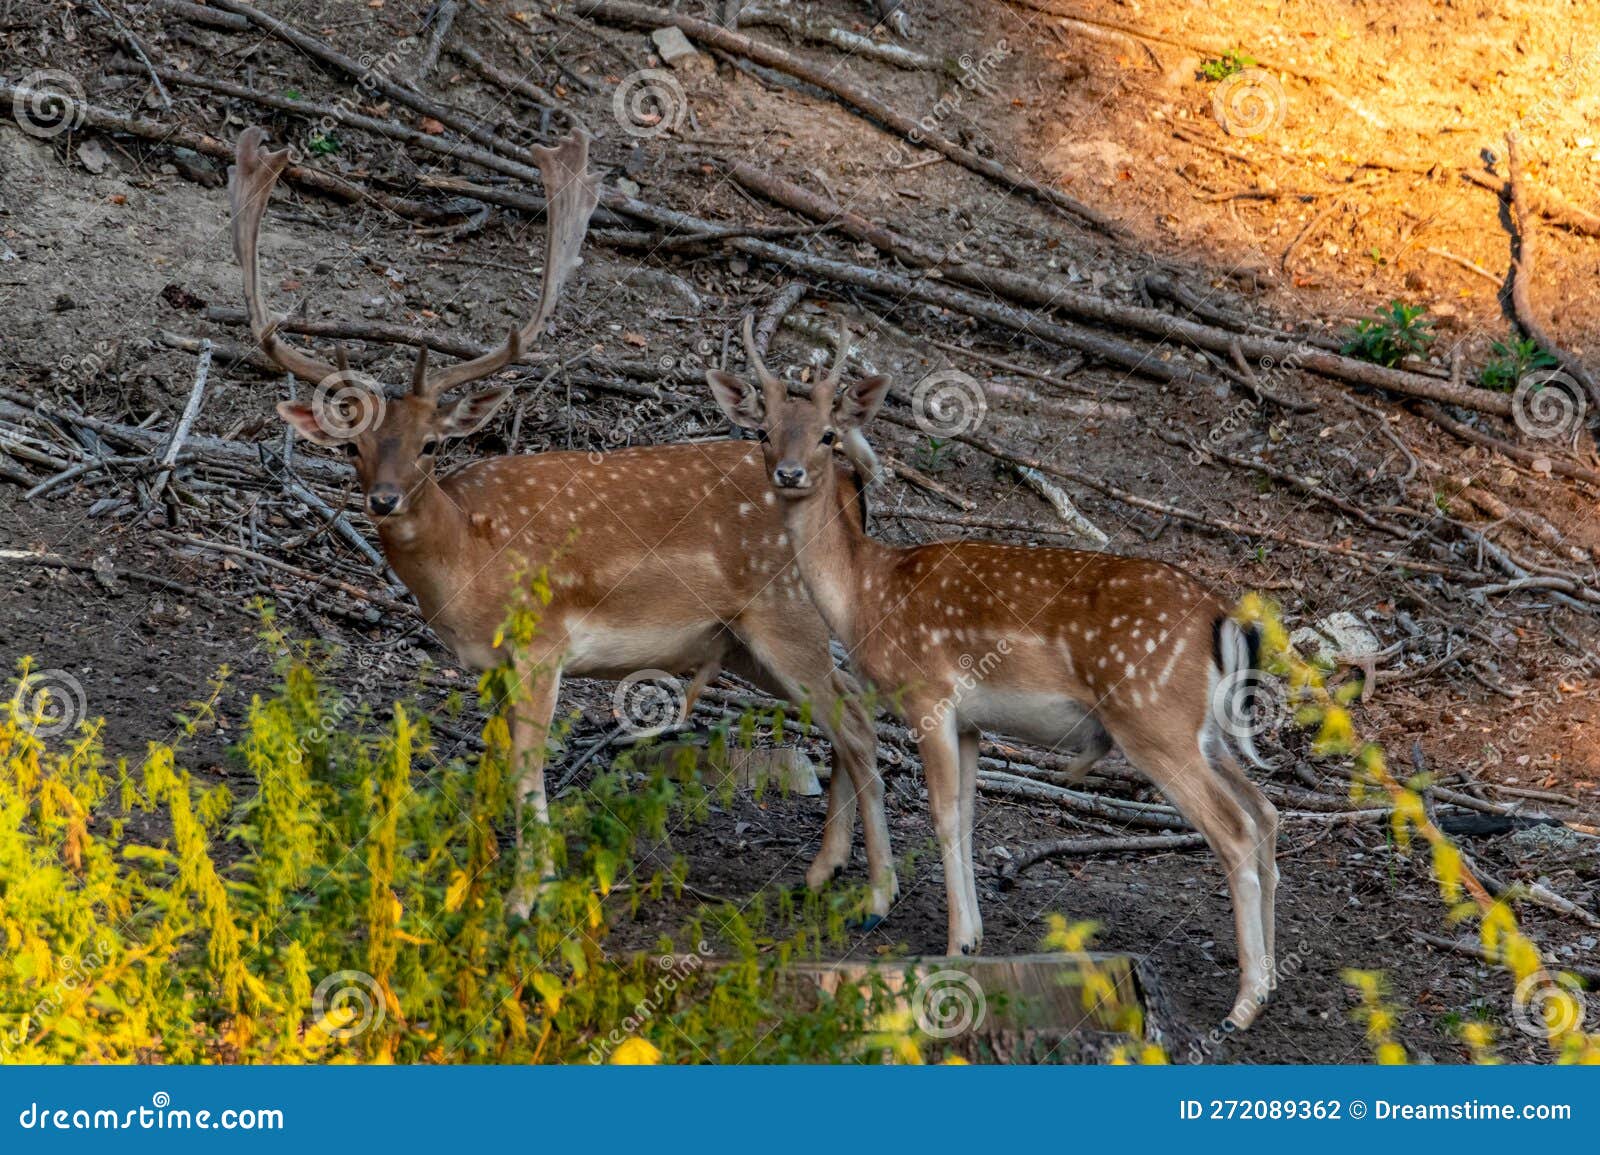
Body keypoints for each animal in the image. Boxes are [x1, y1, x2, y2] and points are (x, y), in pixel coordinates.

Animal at [228, 126, 896, 922]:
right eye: (353, 446)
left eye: (430, 444)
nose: (384, 500)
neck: (471, 562)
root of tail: (848, 485)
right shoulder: (486, 666)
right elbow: (488, 768)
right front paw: (473, 883)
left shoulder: (543, 646)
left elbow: (525, 771)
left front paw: (527, 898)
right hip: (744, 645)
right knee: (851, 710)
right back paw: (825, 871)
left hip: (785, 613)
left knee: (856, 723)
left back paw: (877, 893)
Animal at [706, 317, 1281, 1027]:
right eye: (763, 430)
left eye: (827, 435)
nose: (788, 472)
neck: (865, 594)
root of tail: (1221, 618)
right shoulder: (974, 722)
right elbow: (970, 817)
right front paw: (973, 933)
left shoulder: (930, 695)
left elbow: (943, 815)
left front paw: (957, 941)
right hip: (1210, 733)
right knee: (1266, 814)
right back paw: (1272, 983)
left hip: (1155, 723)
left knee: (1234, 831)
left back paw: (1244, 1005)